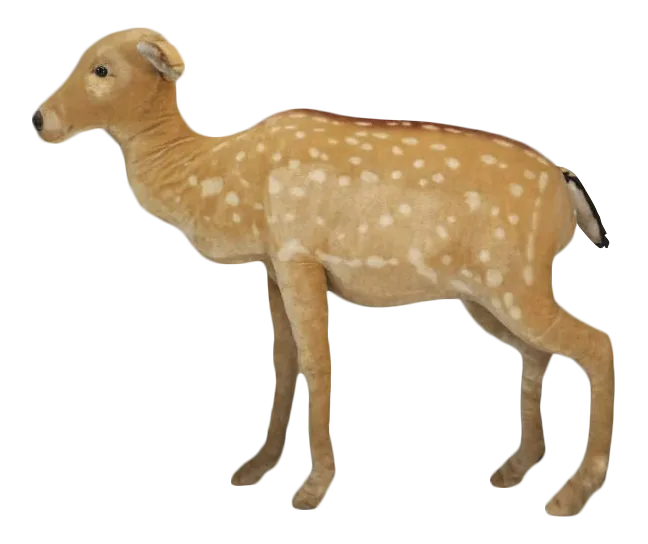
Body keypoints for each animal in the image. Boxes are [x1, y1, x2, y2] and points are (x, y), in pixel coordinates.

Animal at [32, 27, 614, 517]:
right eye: (81, 57)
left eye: (102, 69)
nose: (40, 120)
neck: (217, 174)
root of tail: (569, 190)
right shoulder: (272, 264)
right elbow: (282, 363)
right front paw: (255, 468)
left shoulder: (299, 254)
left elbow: (317, 365)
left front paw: (311, 490)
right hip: (489, 293)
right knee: (538, 354)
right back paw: (516, 467)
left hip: (514, 280)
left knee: (597, 344)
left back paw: (572, 495)